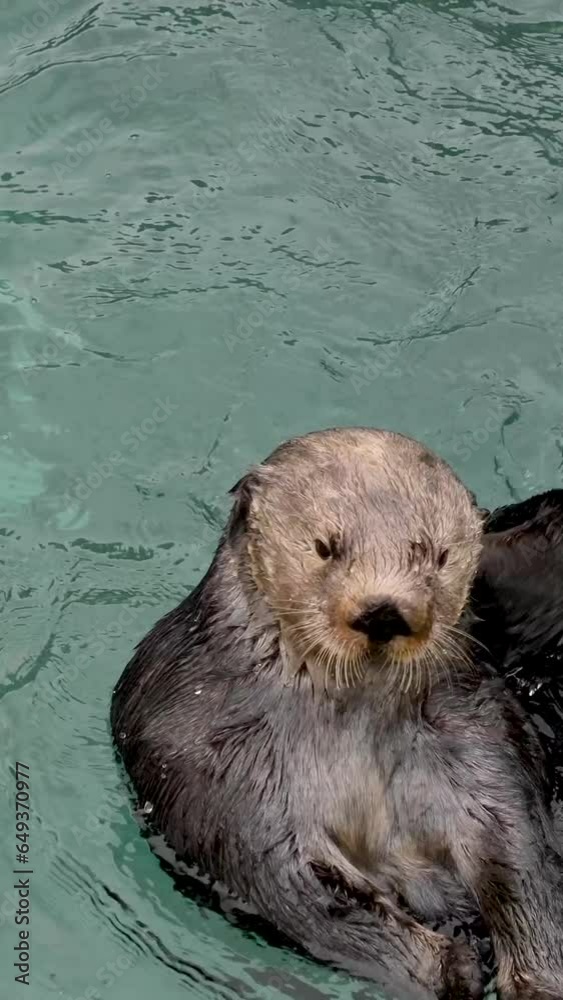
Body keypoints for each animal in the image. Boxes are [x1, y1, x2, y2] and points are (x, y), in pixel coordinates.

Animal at [111, 428, 563, 1000]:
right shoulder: (217, 772)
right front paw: (449, 964)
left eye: (440, 557)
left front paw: (535, 976)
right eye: (325, 547)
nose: (384, 612)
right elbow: (299, 887)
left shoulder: (477, 740)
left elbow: (517, 853)